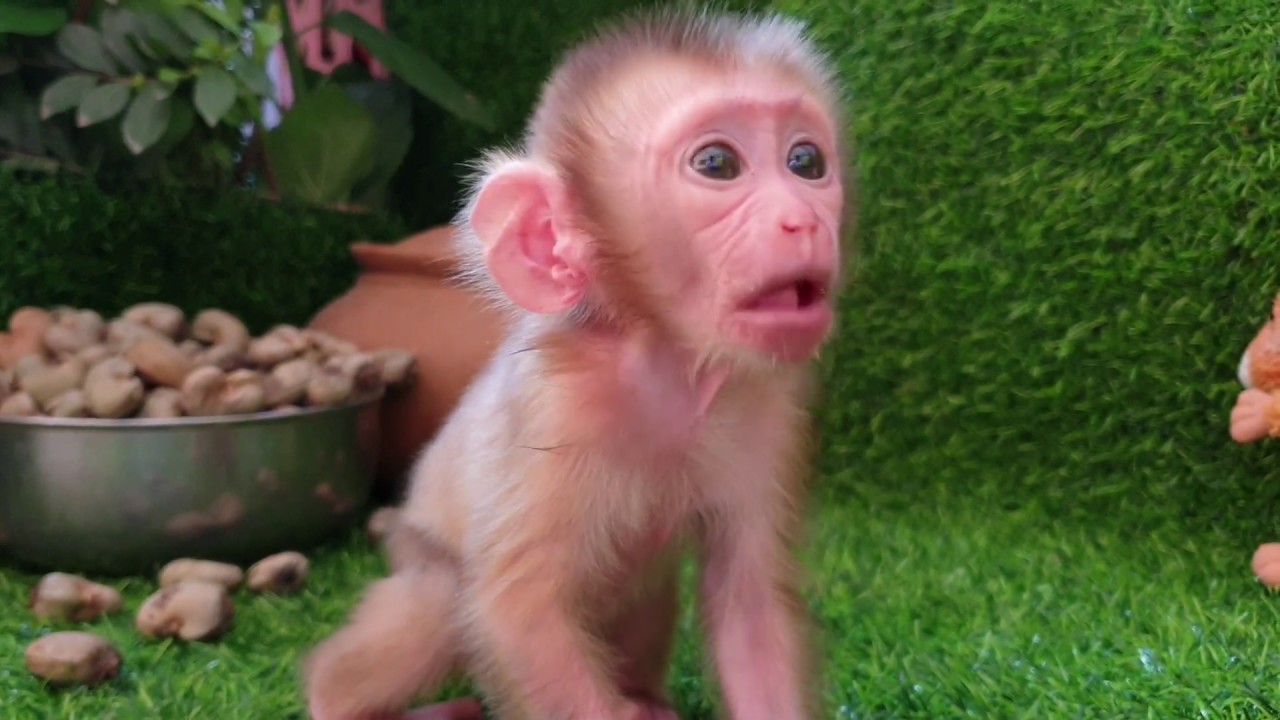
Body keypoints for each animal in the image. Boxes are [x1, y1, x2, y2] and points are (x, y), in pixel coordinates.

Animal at [301, 5, 854, 720]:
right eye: (717, 164)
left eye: (806, 162)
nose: (803, 220)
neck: (664, 369)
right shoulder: (555, 409)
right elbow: (519, 611)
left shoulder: (763, 405)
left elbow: (750, 603)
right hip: (418, 555)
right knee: (440, 602)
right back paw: (339, 696)